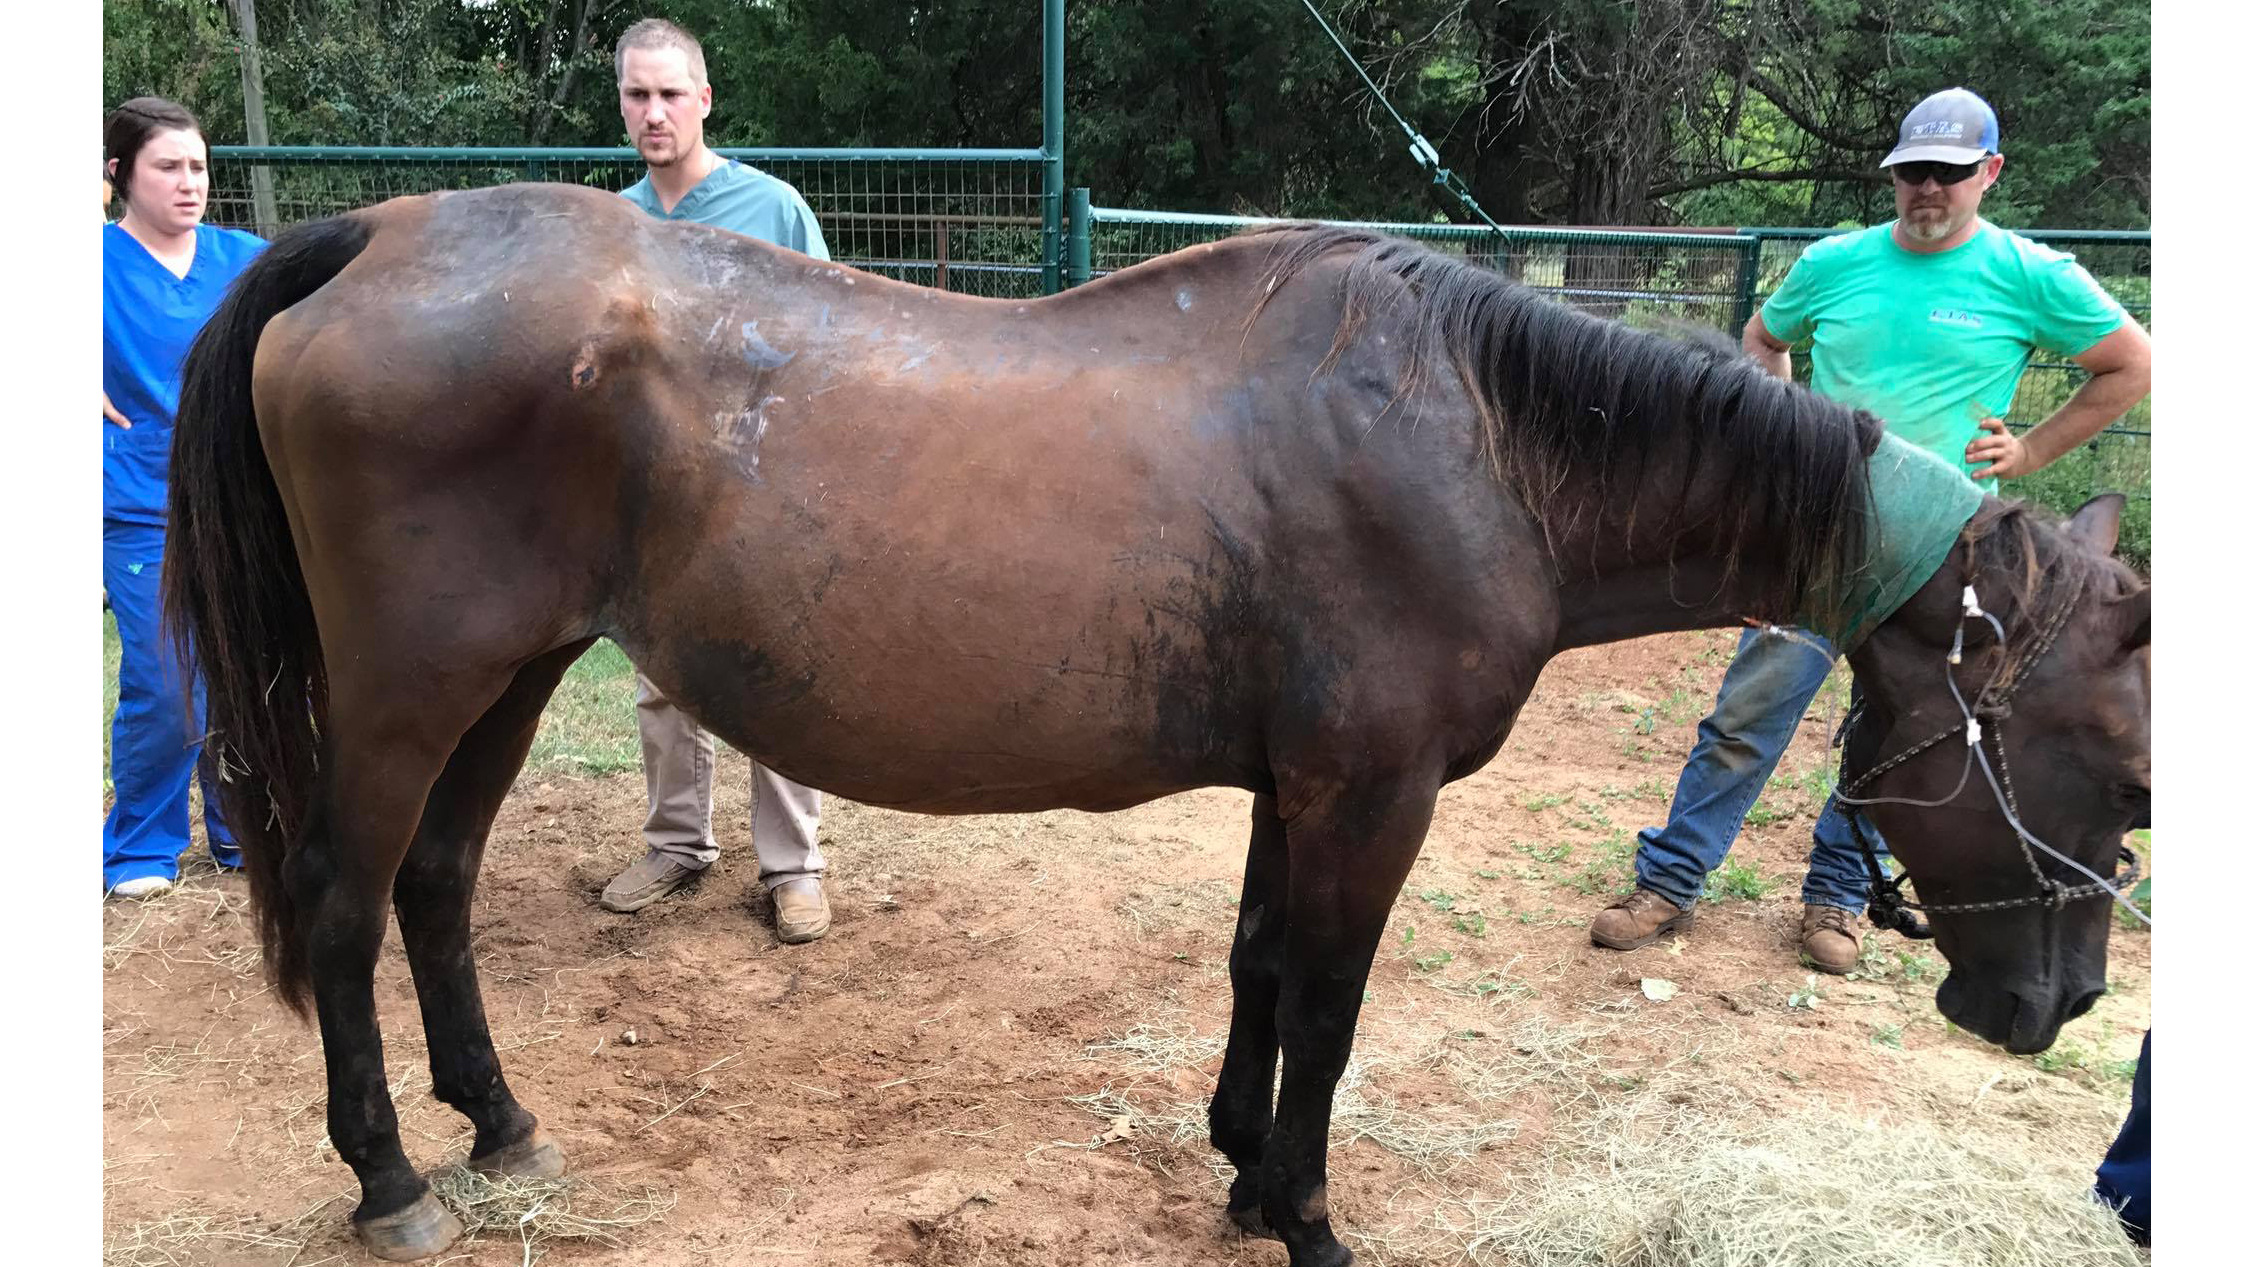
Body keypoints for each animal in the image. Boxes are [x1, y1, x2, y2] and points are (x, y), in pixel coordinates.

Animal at [165, 183, 2150, 1266]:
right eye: (2119, 764)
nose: (2050, 1010)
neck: (1478, 441)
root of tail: (373, 232)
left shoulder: (1300, 782)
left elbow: (1260, 964)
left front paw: (1238, 1169)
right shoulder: (1373, 792)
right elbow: (1330, 1004)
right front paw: (1309, 1210)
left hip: (507, 675)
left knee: (431, 884)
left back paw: (498, 1122)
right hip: (415, 683)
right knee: (342, 902)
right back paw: (391, 1176)